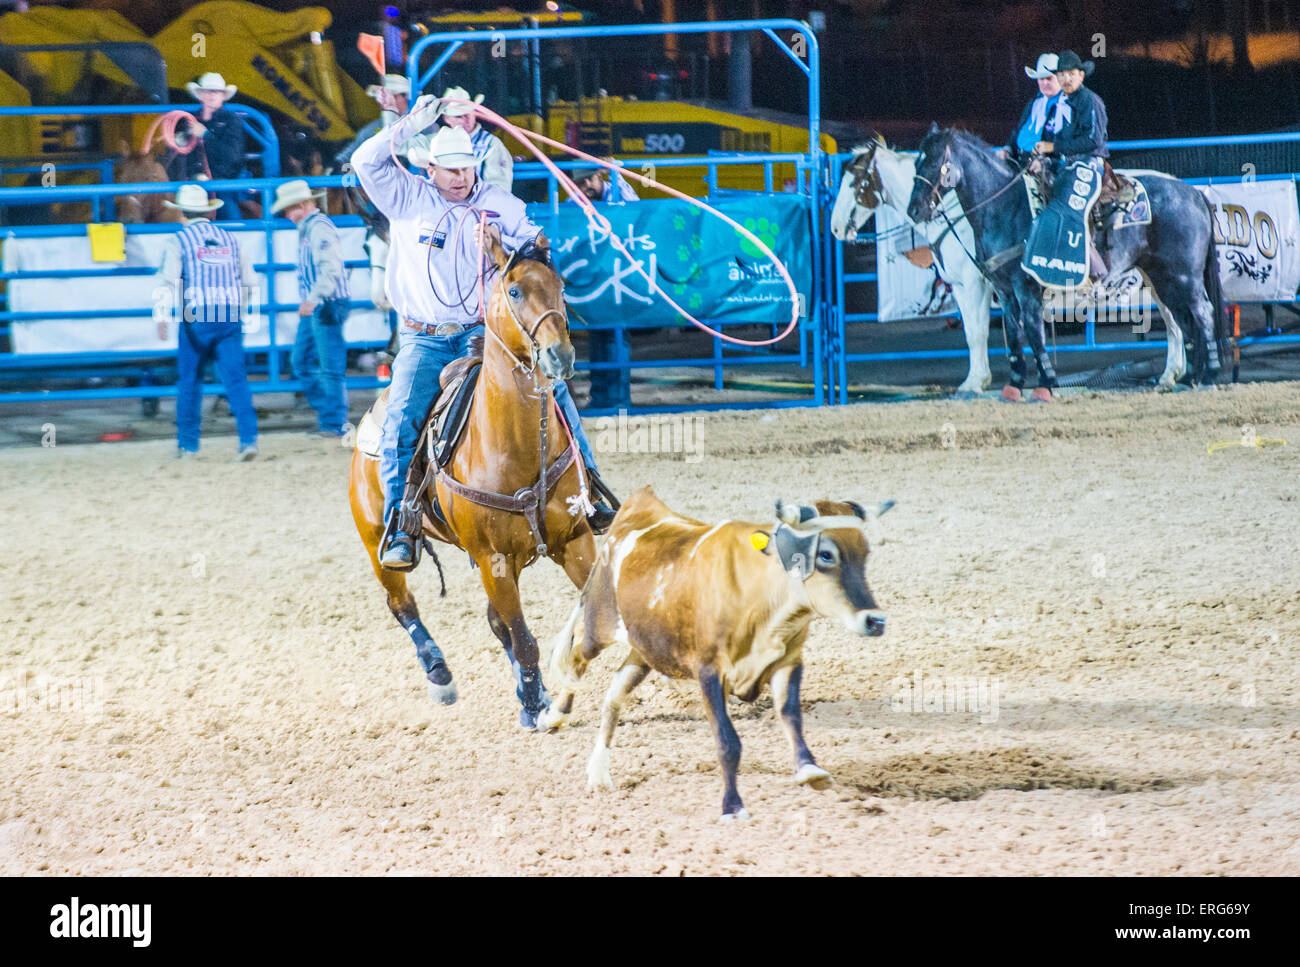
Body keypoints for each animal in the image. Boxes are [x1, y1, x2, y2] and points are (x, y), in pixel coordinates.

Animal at [541, 485, 894, 820]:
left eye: (865, 553)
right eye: (825, 554)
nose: (875, 621)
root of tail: (637, 508)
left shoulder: (789, 661)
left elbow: (791, 716)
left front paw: (810, 768)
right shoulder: (710, 671)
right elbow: (727, 740)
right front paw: (732, 806)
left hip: (645, 649)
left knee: (613, 696)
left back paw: (598, 772)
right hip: (600, 624)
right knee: (577, 656)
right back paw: (555, 715)